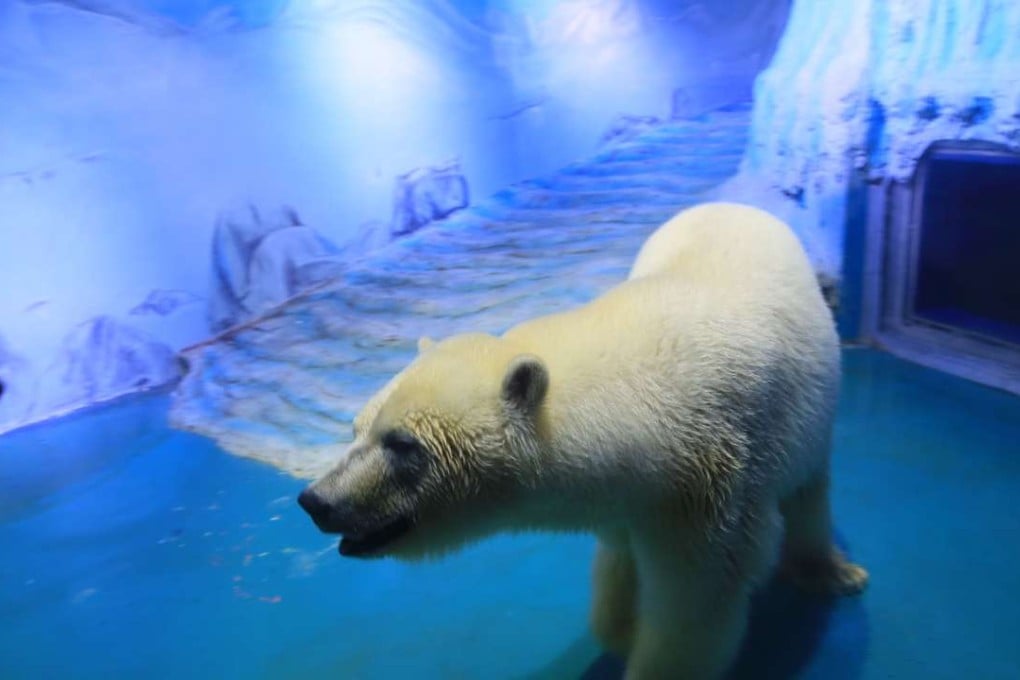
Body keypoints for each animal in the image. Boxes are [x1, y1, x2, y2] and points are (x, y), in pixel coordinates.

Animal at [298, 202, 868, 679]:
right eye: (356, 430)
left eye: (402, 444)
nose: (316, 501)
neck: (639, 406)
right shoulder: (635, 496)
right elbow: (621, 566)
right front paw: (622, 631)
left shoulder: (710, 486)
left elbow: (696, 603)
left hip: (810, 408)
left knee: (808, 490)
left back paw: (831, 572)